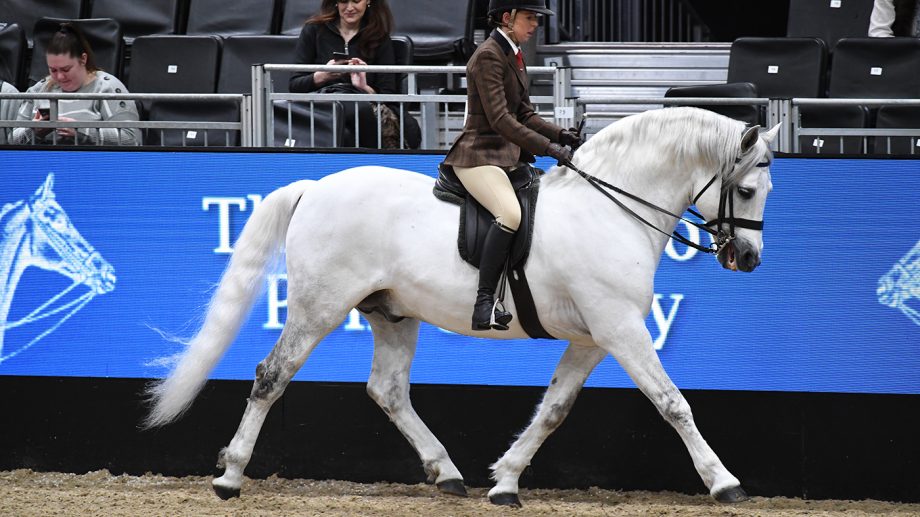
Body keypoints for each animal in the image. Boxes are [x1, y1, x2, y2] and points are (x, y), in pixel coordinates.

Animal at [144, 107, 778, 507]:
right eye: (747, 190)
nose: (747, 258)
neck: (611, 210)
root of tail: (315, 187)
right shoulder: (620, 328)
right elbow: (673, 404)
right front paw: (725, 483)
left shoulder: (592, 337)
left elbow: (554, 409)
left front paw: (505, 482)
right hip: (318, 307)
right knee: (272, 376)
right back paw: (230, 477)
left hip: (392, 314)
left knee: (388, 391)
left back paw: (447, 473)